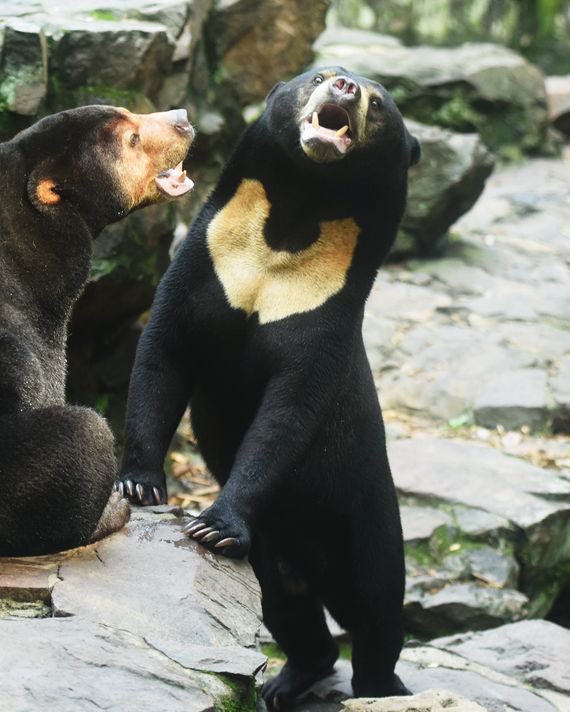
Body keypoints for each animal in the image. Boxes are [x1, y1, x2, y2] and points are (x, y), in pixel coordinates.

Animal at [117, 67, 420, 707]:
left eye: (379, 103)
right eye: (320, 76)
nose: (346, 86)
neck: (294, 218)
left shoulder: (323, 311)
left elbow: (288, 413)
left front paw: (212, 524)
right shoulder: (204, 267)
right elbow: (162, 356)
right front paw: (139, 485)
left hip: (365, 514)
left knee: (376, 607)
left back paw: (380, 686)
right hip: (278, 552)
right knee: (288, 606)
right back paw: (289, 680)